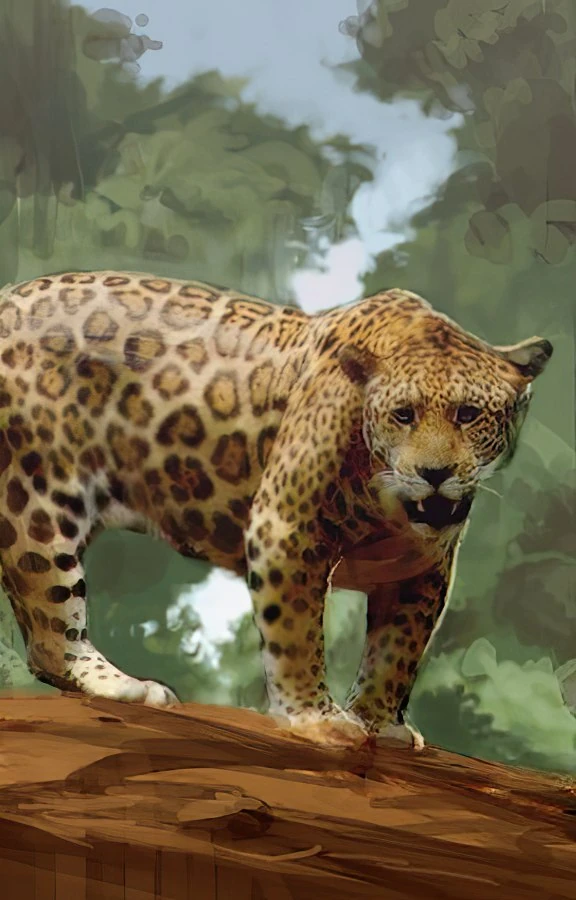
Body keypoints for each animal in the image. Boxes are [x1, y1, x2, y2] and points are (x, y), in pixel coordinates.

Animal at [0, 270, 552, 748]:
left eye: (468, 414)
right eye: (403, 415)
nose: (434, 473)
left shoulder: (422, 568)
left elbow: (397, 650)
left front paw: (380, 722)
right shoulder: (286, 527)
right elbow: (297, 632)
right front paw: (315, 718)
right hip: (38, 502)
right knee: (50, 634)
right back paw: (129, 688)